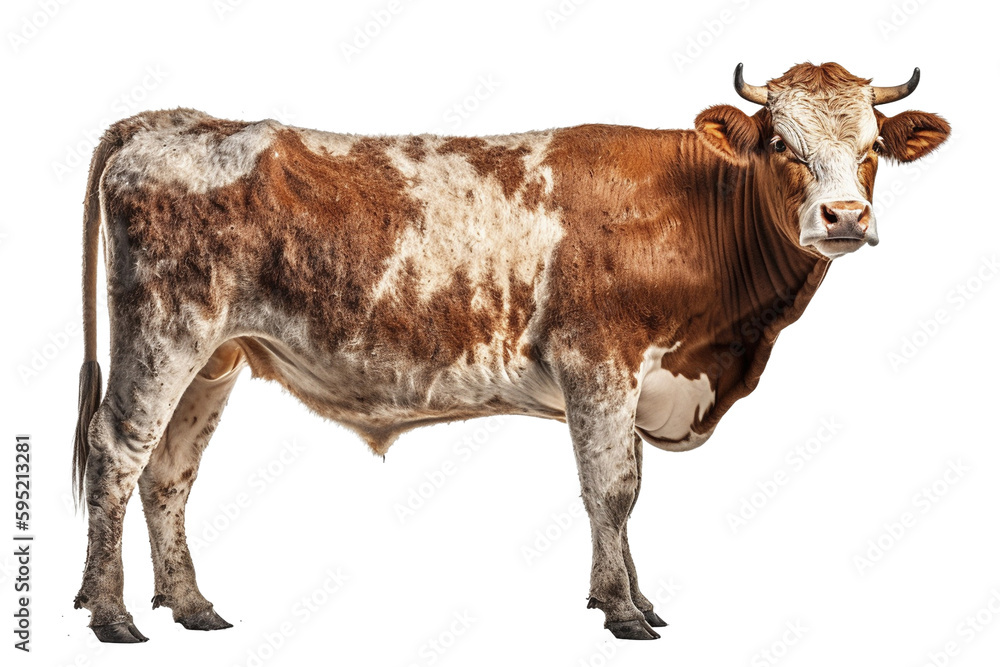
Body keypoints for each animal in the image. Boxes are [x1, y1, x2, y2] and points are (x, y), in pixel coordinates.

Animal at [72, 62, 950, 643]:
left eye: (872, 146)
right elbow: (612, 489)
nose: (843, 217)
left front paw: (637, 597)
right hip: (164, 332)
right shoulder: (599, 362)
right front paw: (622, 610)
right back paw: (111, 612)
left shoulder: (636, 380)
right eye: (781, 145)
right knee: (117, 450)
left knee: (169, 471)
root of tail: (171, 118)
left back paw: (191, 605)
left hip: (212, 357)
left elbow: (629, 490)